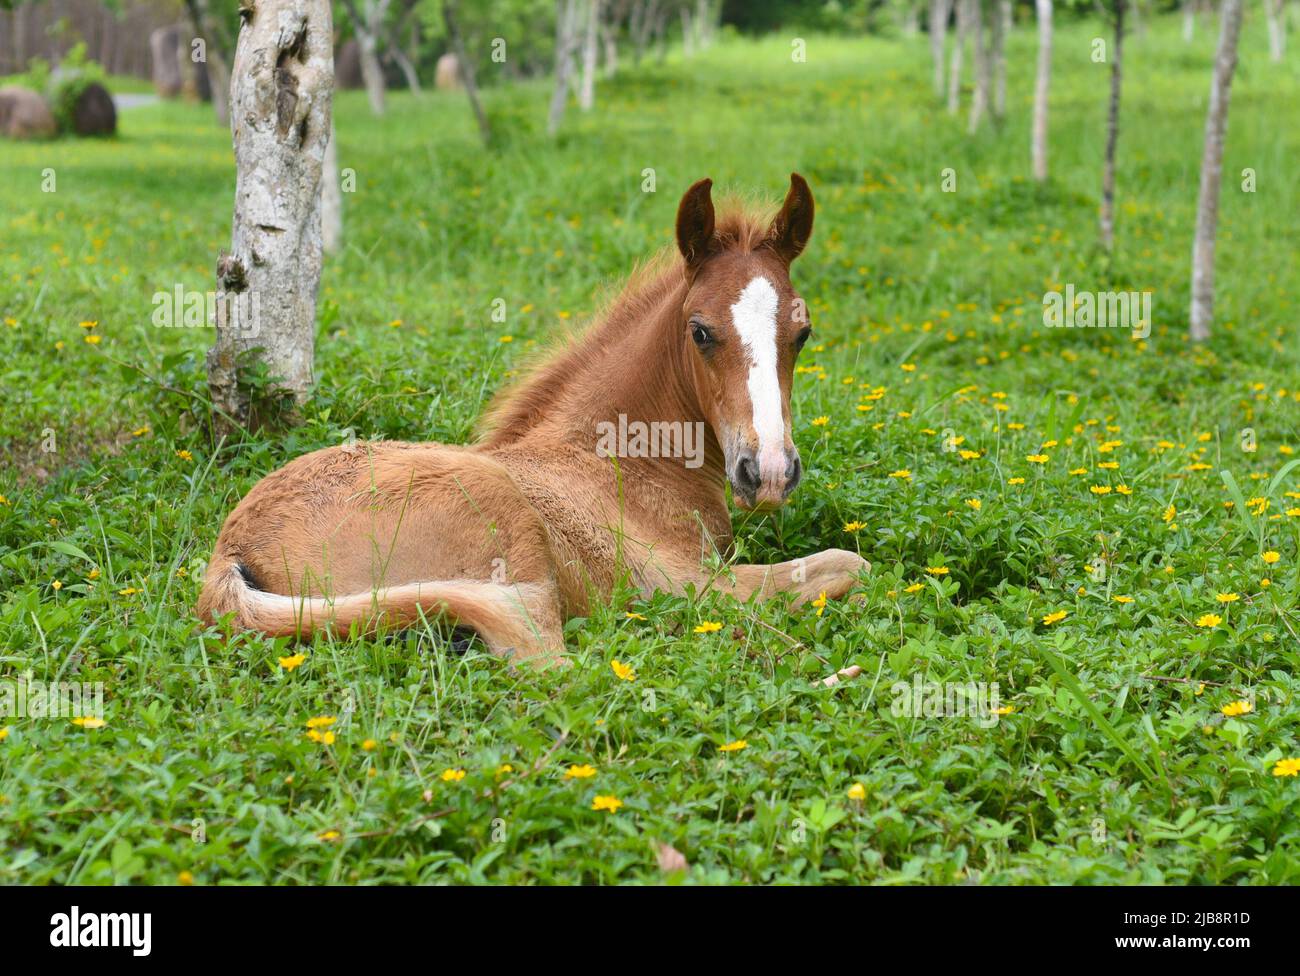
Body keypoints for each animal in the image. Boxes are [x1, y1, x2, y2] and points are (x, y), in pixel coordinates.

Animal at [196, 174, 870, 666]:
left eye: (803, 333)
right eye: (701, 331)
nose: (771, 473)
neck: (622, 465)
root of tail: (231, 551)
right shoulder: (688, 583)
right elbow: (845, 565)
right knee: (547, 662)